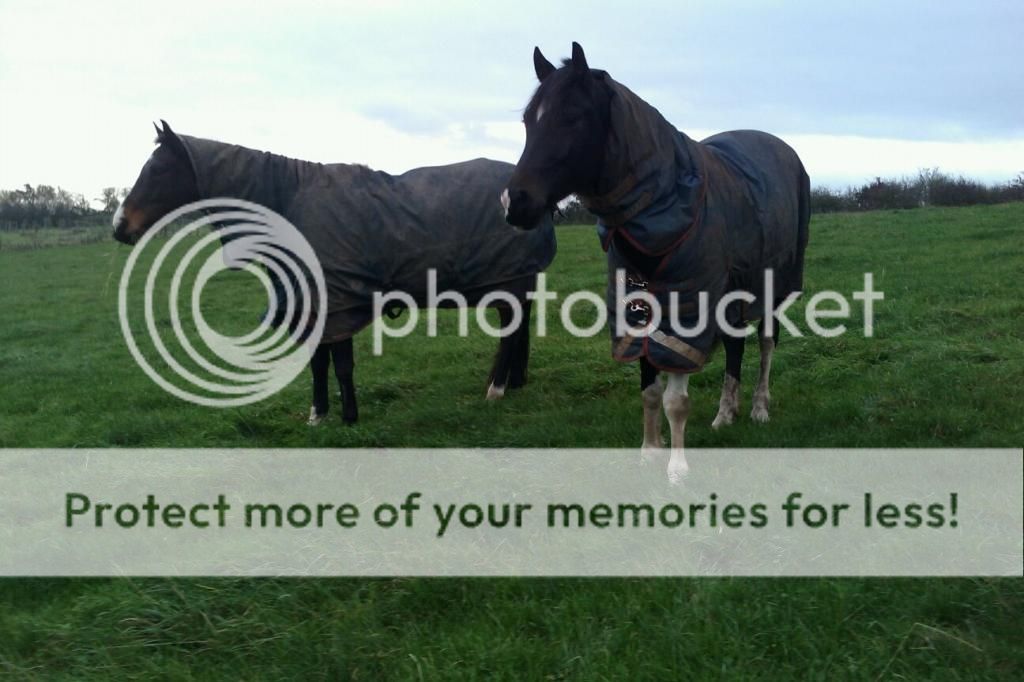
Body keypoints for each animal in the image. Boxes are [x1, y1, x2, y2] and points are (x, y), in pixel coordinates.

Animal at [113, 121, 556, 423]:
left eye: (157, 169)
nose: (120, 227)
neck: (288, 201)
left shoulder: (337, 301)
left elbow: (340, 363)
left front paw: (349, 417)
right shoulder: (315, 302)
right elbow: (318, 362)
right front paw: (318, 414)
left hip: (508, 280)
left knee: (510, 332)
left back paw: (496, 388)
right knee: (519, 329)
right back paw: (515, 381)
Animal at [502, 43, 810, 483]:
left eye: (573, 117)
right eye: (529, 120)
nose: (515, 203)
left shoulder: (686, 311)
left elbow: (675, 400)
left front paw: (677, 469)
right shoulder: (636, 310)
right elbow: (649, 391)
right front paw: (649, 451)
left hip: (772, 287)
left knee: (767, 343)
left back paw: (758, 408)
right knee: (736, 346)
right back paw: (725, 414)